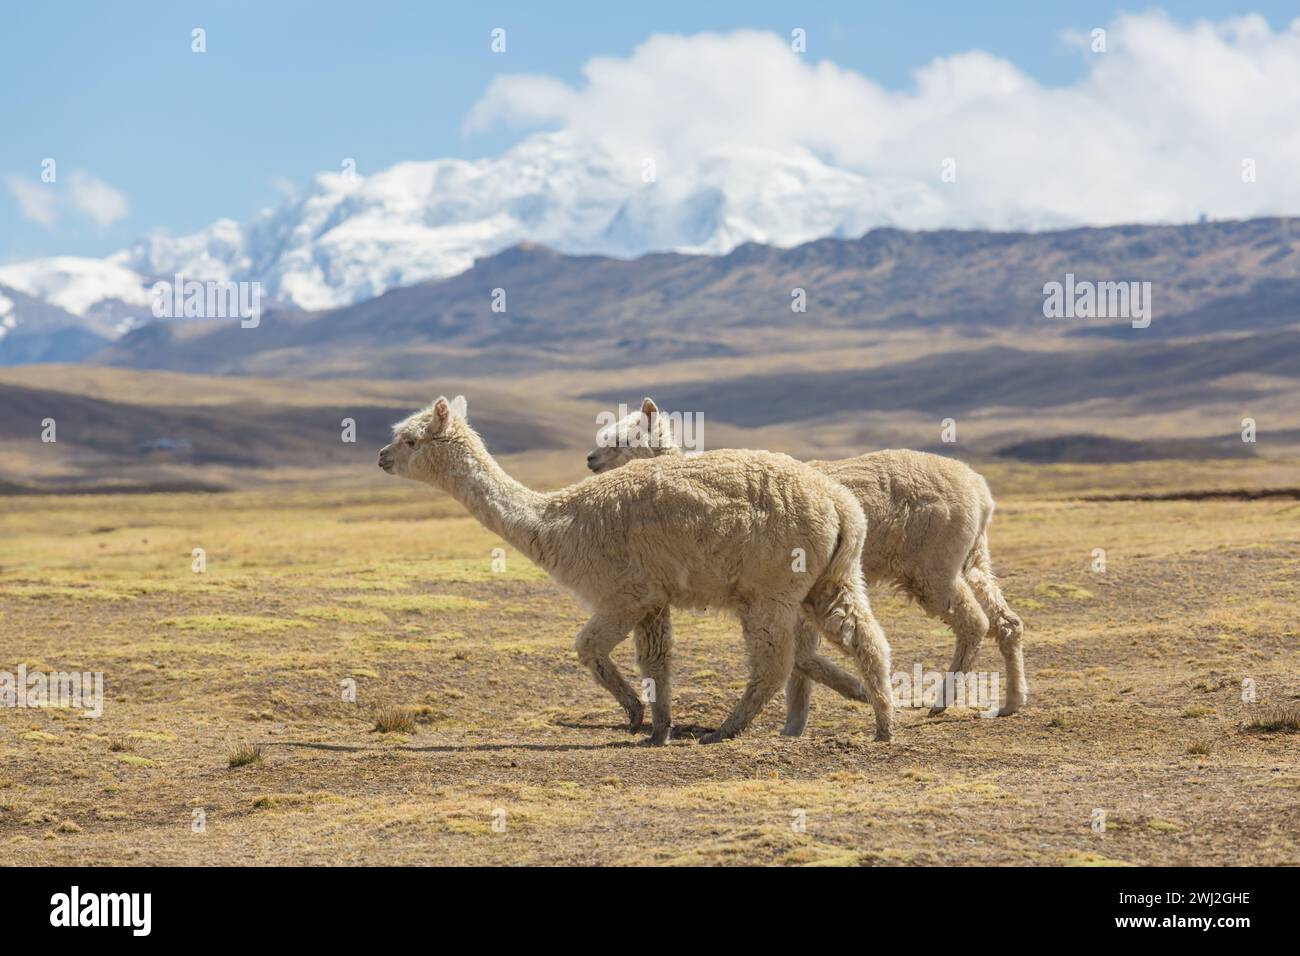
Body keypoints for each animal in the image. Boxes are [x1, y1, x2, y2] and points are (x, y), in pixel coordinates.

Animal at [379, 395, 894, 744]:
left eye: (410, 440)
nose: (382, 457)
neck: (556, 521)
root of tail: (840, 504)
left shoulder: (624, 593)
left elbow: (587, 647)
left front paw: (633, 715)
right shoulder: (654, 598)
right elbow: (657, 663)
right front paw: (658, 729)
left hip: (771, 588)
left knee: (774, 663)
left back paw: (726, 729)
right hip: (831, 580)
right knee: (868, 641)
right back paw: (883, 722)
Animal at [588, 398, 1027, 734]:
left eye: (622, 441)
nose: (591, 459)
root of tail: (980, 489)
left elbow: (799, 658)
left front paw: (838, 701)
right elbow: (801, 662)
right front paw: (795, 726)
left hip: (932, 567)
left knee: (974, 622)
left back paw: (941, 701)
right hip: (972, 559)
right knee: (1007, 622)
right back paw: (1011, 703)